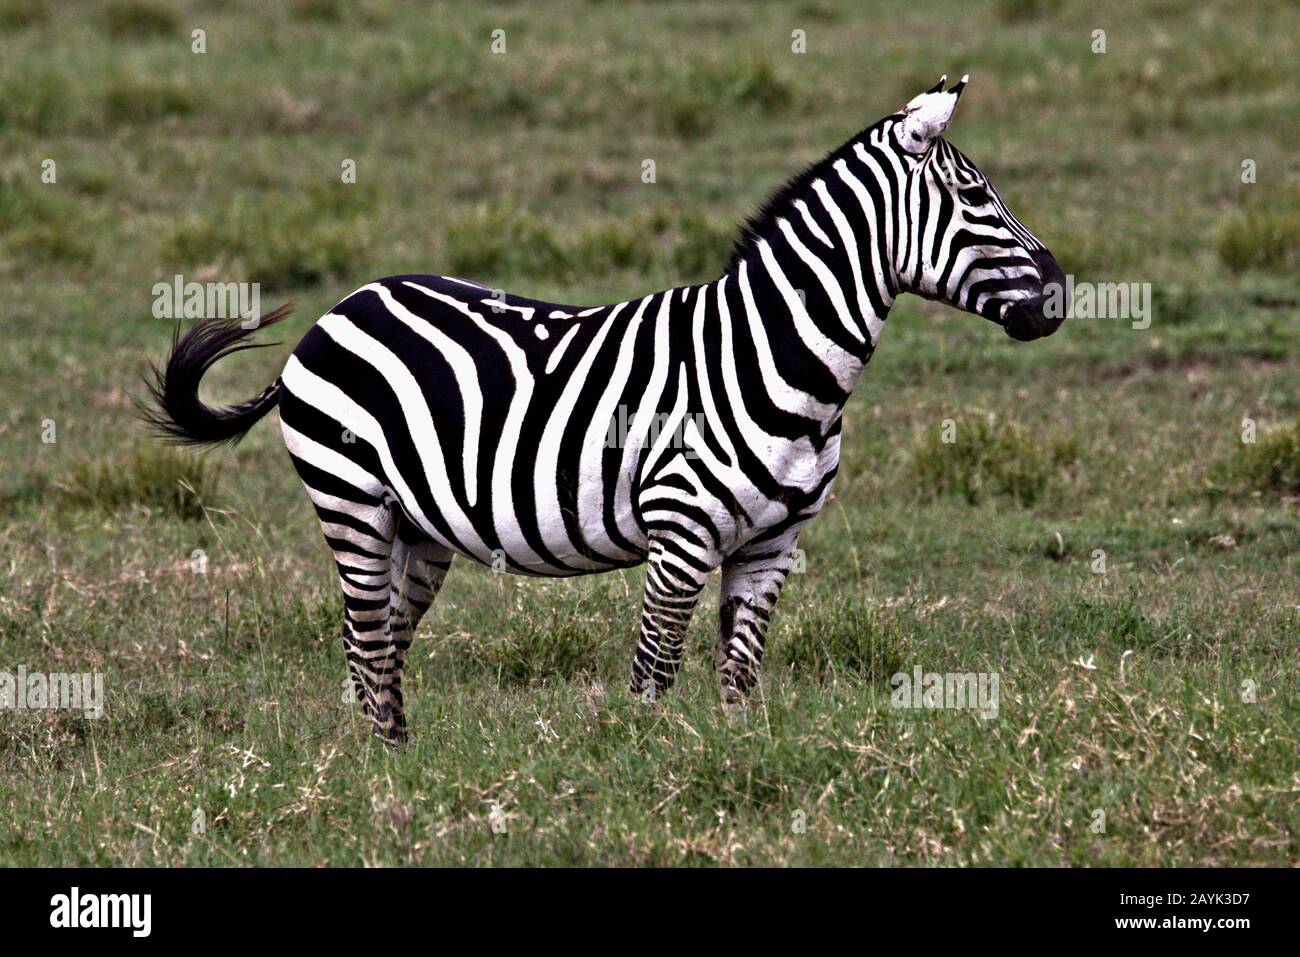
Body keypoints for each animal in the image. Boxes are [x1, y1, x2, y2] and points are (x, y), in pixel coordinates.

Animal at [144, 76, 1065, 742]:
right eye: (978, 200)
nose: (1059, 295)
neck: (778, 357)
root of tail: (339, 308)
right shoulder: (681, 530)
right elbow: (653, 671)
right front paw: (649, 774)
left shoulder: (772, 544)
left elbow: (740, 677)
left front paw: (743, 766)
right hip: (350, 499)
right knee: (367, 635)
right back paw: (380, 773)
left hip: (417, 525)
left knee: (378, 645)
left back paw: (392, 762)